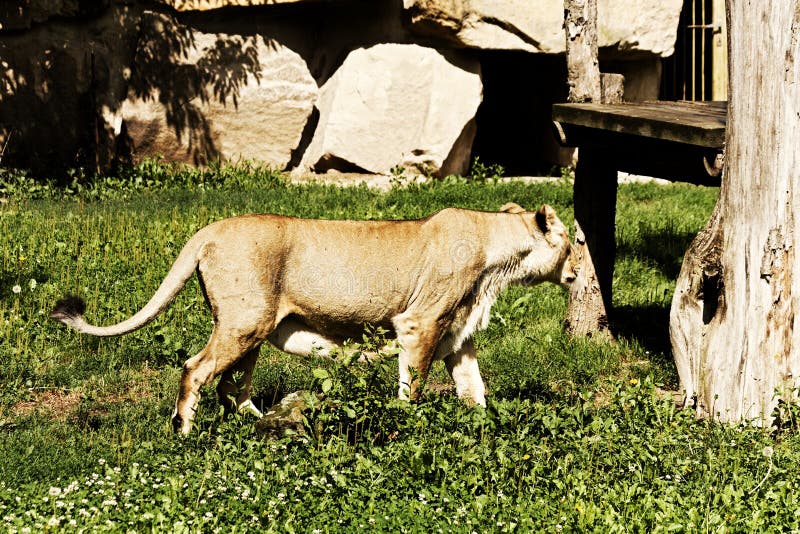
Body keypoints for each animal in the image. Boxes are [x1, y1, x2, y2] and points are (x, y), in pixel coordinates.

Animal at [50, 202, 578, 434]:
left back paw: (268, 424)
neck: (498, 259)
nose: (578, 272)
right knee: (195, 369)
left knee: (232, 387)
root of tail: (208, 230)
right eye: (575, 243)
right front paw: (406, 427)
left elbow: (475, 391)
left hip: (254, 329)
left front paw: (484, 431)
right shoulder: (419, 324)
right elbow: (412, 388)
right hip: (244, 323)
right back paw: (186, 432)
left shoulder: (457, 336)